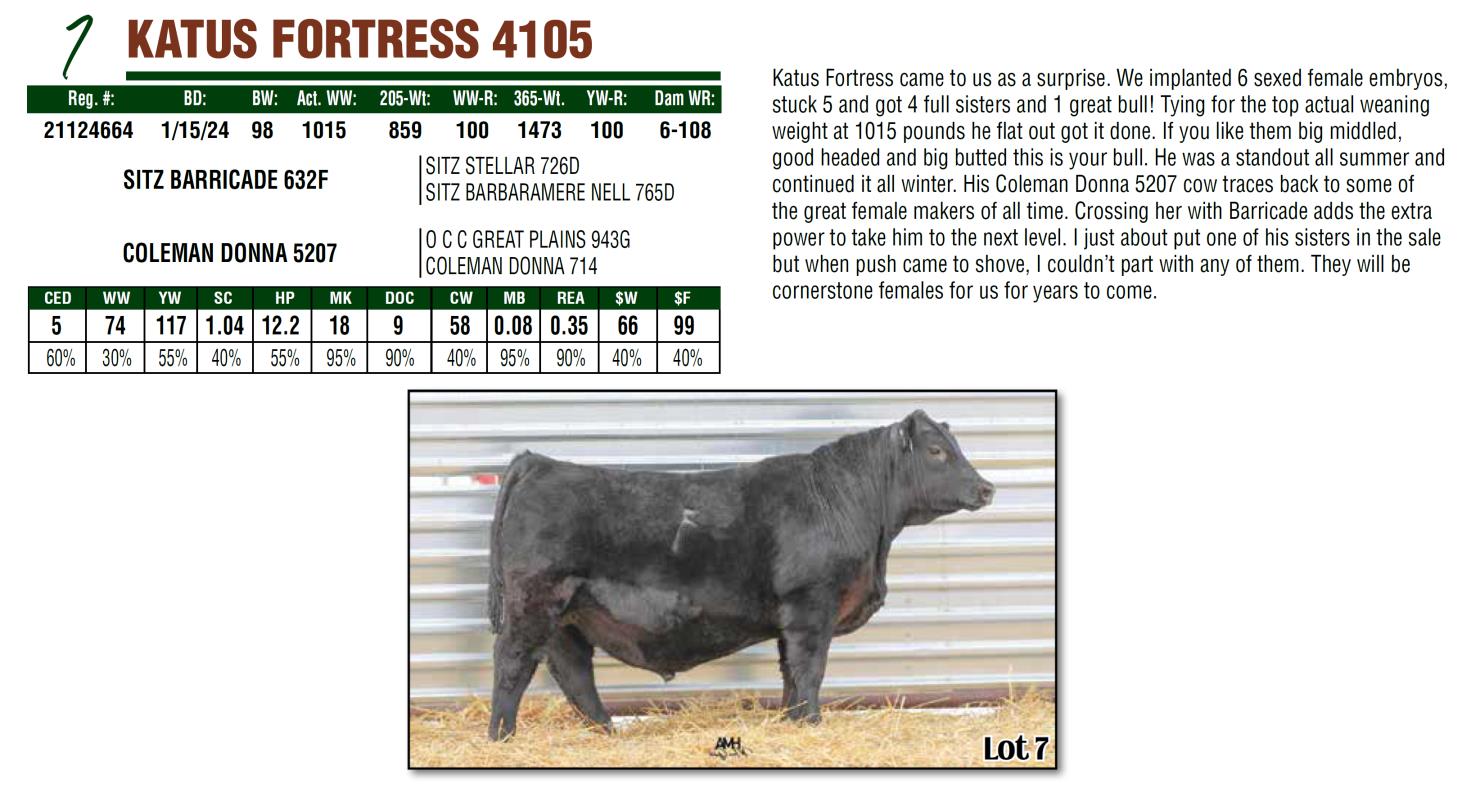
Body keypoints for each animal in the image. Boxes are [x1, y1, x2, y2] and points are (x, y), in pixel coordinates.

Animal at [485, 409, 994, 740]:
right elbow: (811, 668)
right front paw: (811, 723)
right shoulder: (811, 603)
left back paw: (608, 731)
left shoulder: (791, 616)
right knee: (513, 663)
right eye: (936, 451)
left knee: (572, 670)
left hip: (567, 614)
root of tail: (541, 462)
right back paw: (501, 736)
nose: (987, 488)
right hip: (535, 599)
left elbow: (791, 672)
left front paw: (792, 721)